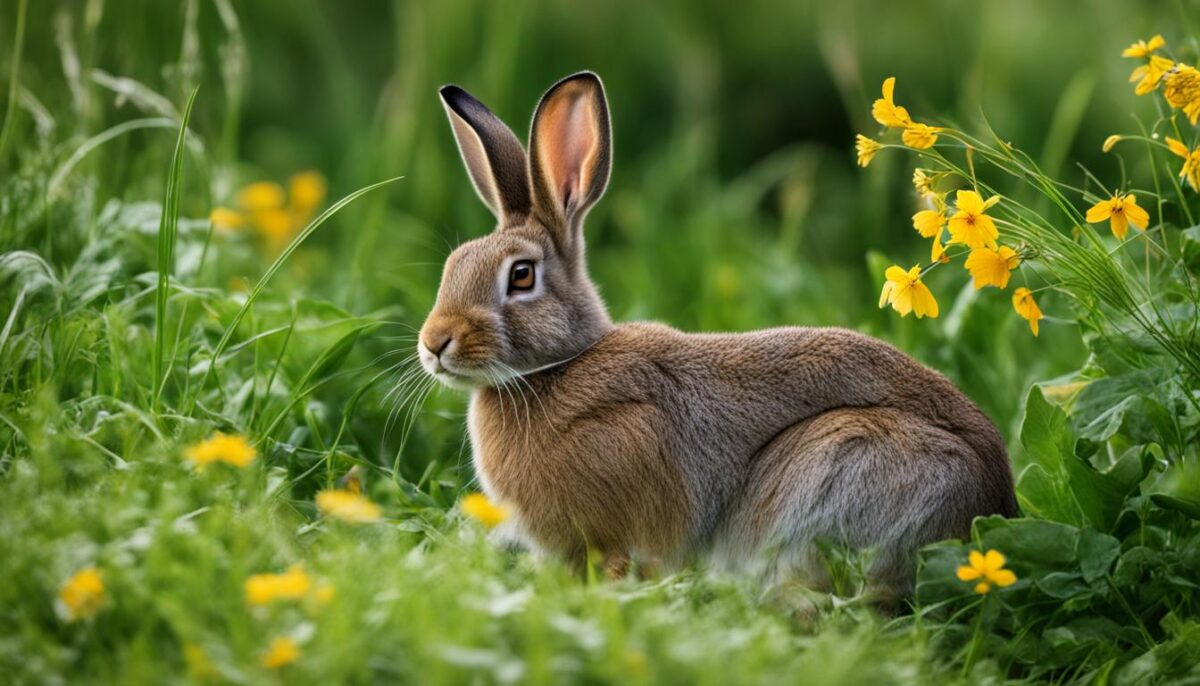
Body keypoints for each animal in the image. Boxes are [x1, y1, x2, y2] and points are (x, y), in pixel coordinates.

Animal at [418, 71, 1018, 602]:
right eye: (453, 264)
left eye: (521, 276)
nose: (434, 343)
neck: (556, 367)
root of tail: (994, 499)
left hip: (832, 466)